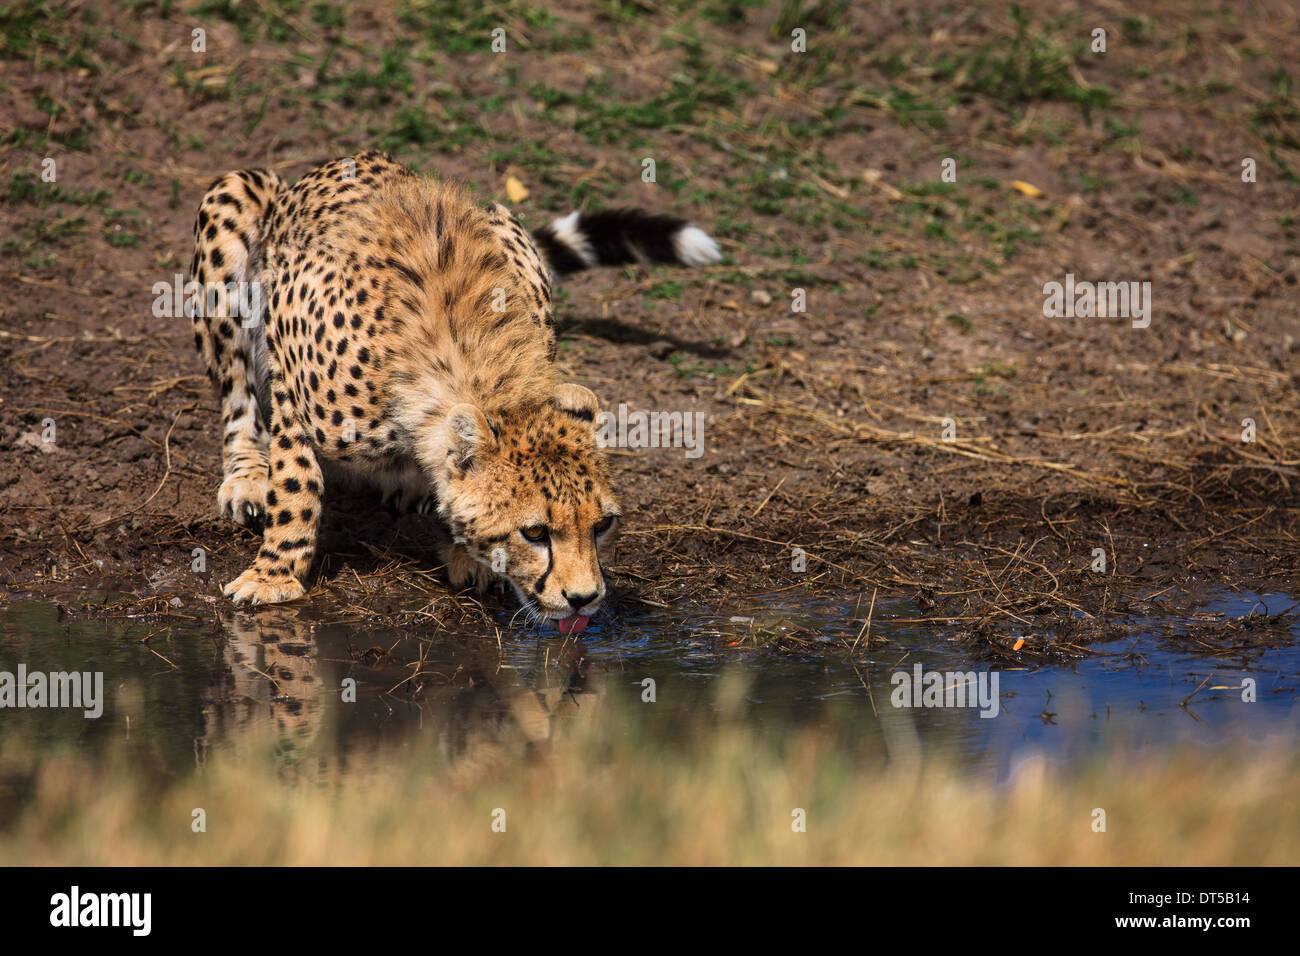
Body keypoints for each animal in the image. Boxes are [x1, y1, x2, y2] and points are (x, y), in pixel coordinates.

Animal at [186, 150, 719, 632]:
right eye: (535, 532)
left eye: (602, 524)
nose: (585, 598)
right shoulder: (290, 372)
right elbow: (296, 482)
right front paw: (274, 575)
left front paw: (466, 553)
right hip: (233, 203)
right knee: (237, 393)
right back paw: (247, 477)